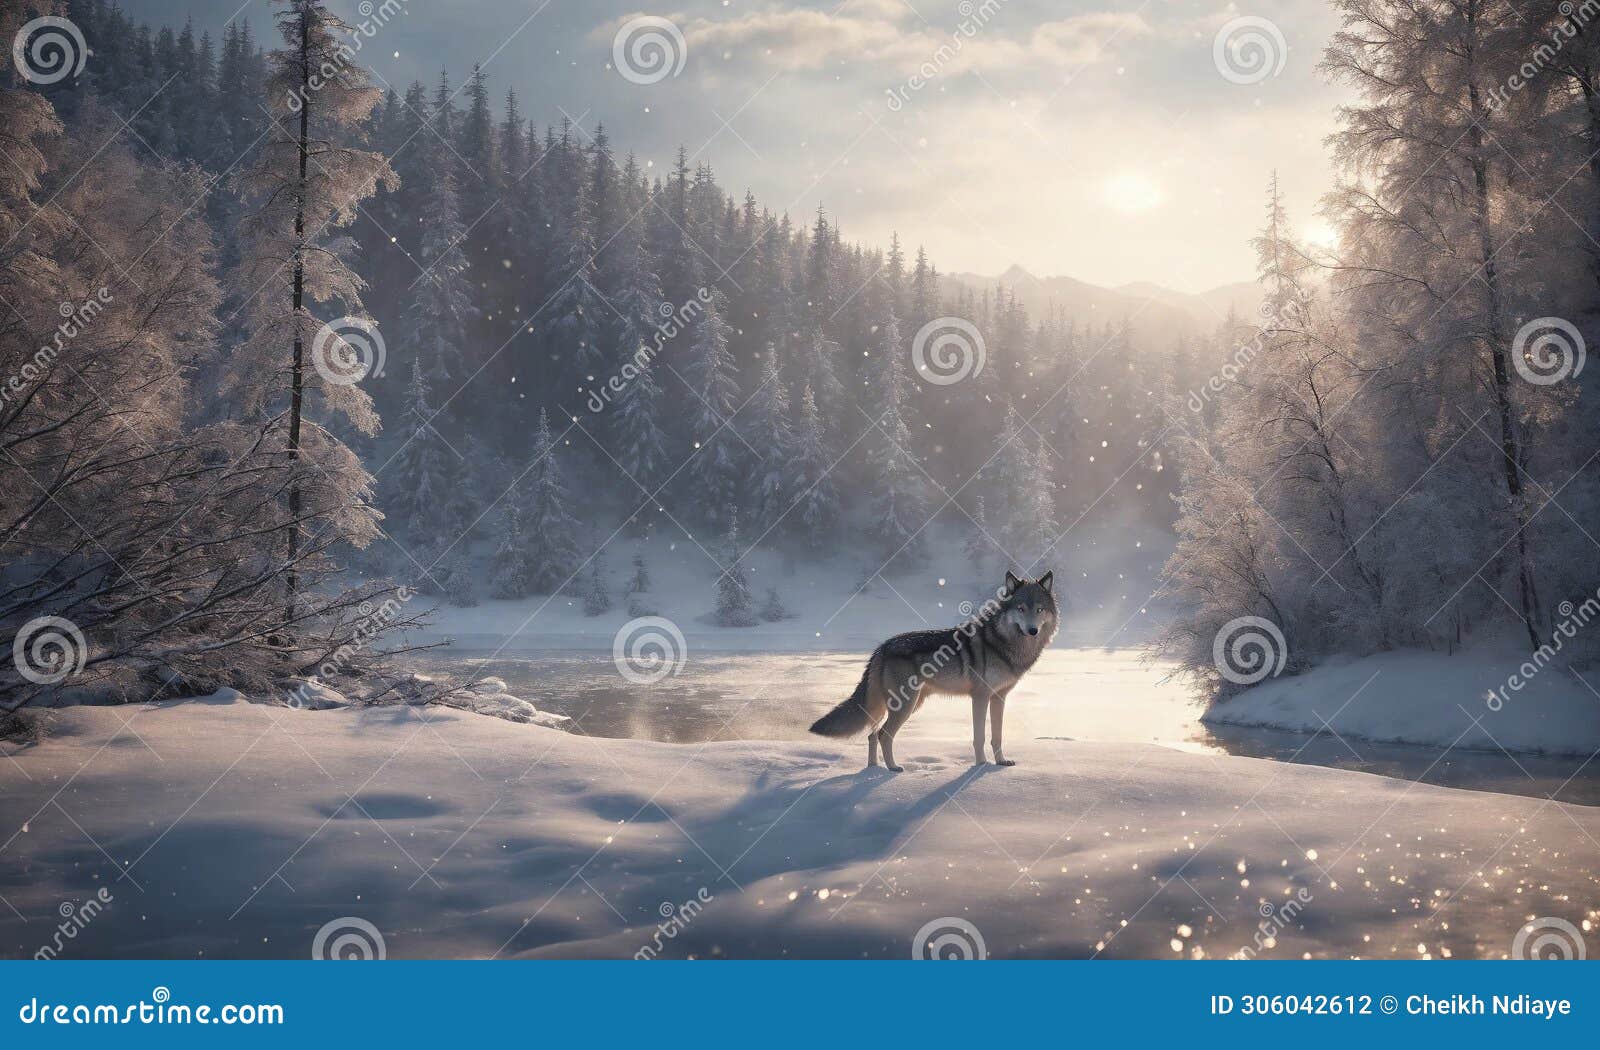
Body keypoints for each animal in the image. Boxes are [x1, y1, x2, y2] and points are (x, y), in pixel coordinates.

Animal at [809, 571, 1056, 770]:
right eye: (1021, 609)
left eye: (1039, 609)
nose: (1032, 630)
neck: (1004, 644)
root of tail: (882, 647)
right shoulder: (980, 696)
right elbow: (980, 736)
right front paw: (981, 765)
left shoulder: (999, 697)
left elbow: (997, 736)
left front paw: (1001, 763)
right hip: (905, 705)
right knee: (882, 735)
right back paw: (893, 768)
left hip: (905, 704)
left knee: (871, 735)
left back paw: (873, 770)